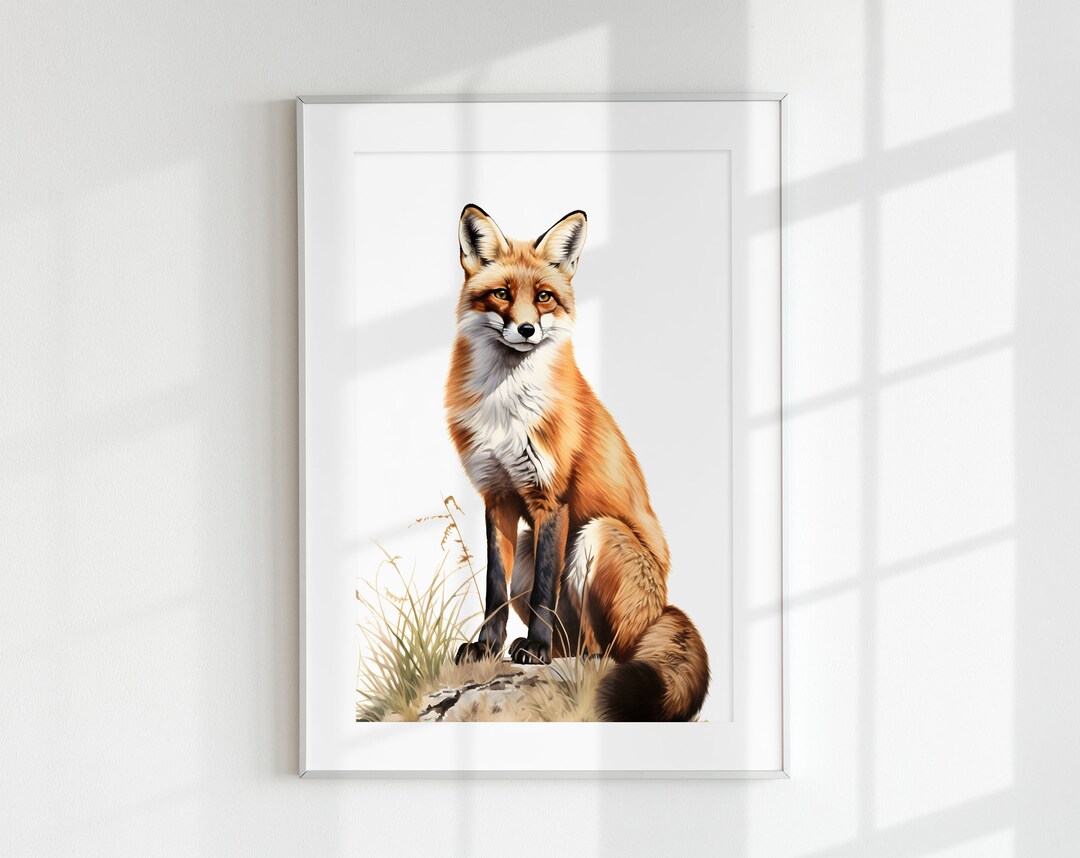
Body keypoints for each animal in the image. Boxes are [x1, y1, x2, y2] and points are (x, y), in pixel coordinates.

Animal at [444, 204, 710, 721]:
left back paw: (559, 653)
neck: (506, 411)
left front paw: (535, 649)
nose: (526, 329)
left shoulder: (553, 500)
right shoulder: (498, 496)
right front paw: (486, 647)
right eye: (502, 294)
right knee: (571, 639)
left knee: (603, 650)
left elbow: (545, 591)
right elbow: (493, 588)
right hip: (530, 549)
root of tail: (665, 606)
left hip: (596, 535)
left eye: (544, 298)